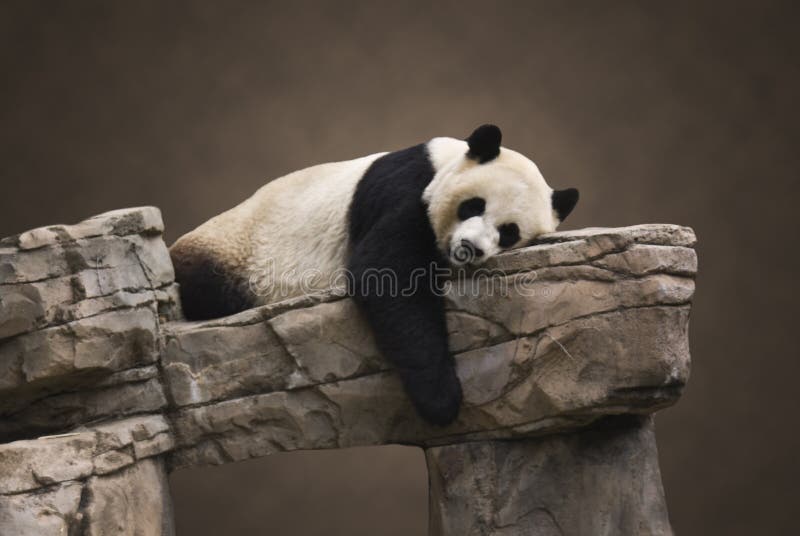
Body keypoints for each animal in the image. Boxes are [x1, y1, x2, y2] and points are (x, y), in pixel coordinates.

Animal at [170, 125, 579, 426]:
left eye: (509, 232)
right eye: (473, 206)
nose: (470, 248)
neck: (447, 159)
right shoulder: (407, 188)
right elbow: (384, 273)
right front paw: (443, 401)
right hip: (237, 251)